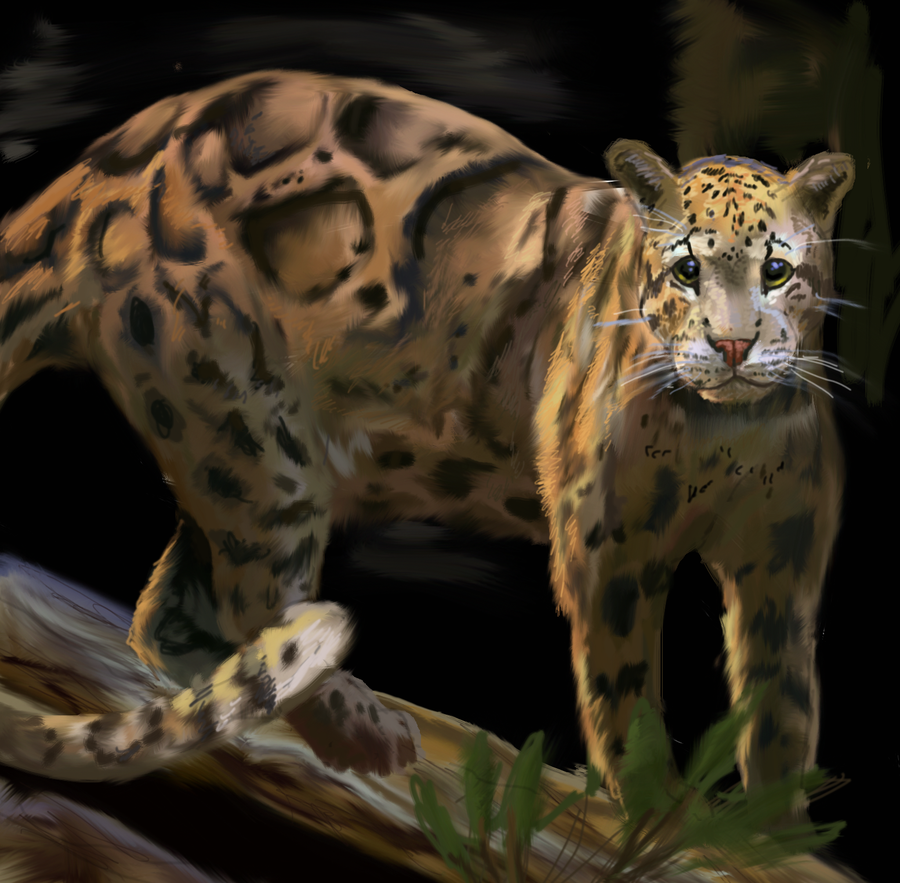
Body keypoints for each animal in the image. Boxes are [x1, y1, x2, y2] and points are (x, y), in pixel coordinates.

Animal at [0, 70, 853, 828]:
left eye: (777, 269)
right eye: (686, 269)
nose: (734, 344)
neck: (728, 432)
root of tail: (94, 170)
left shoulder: (784, 556)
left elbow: (783, 698)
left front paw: (777, 827)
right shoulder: (610, 543)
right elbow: (627, 682)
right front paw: (657, 807)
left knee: (167, 616)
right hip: (253, 433)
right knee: (250, 597)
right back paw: (358, 720)